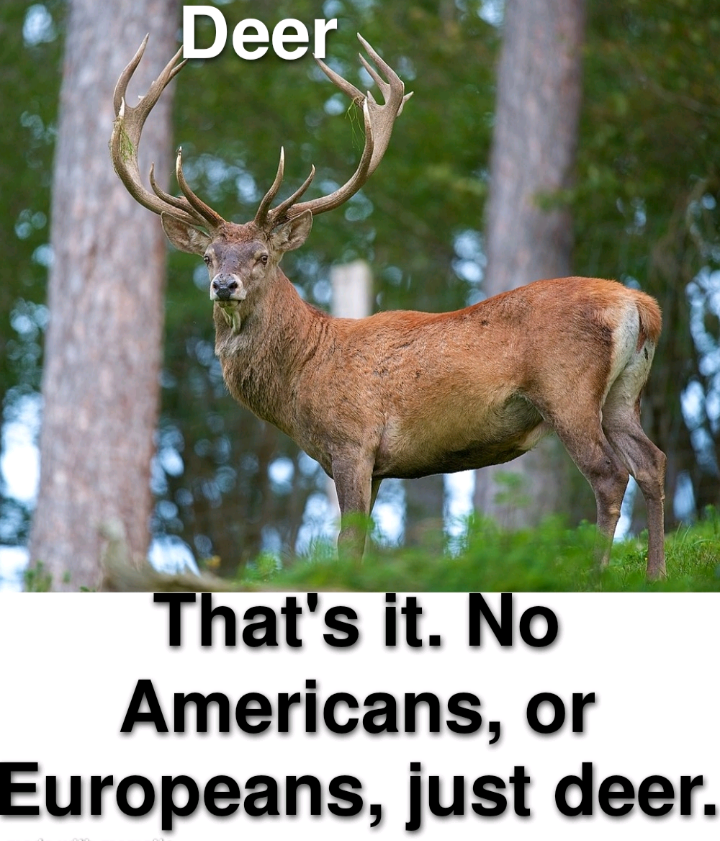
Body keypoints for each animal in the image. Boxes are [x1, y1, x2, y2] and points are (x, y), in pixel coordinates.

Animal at [111, 35, 667, 579]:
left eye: (263, 256)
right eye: (208, 256)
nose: (224, 285)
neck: (303, 372)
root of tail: (641, 305)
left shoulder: (352, 443)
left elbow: (348, 544)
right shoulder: (375, 465)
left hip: (566, 389)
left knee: (609, 474)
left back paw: (595, 575)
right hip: (623, 395)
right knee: (652, 462)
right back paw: (657, 575)